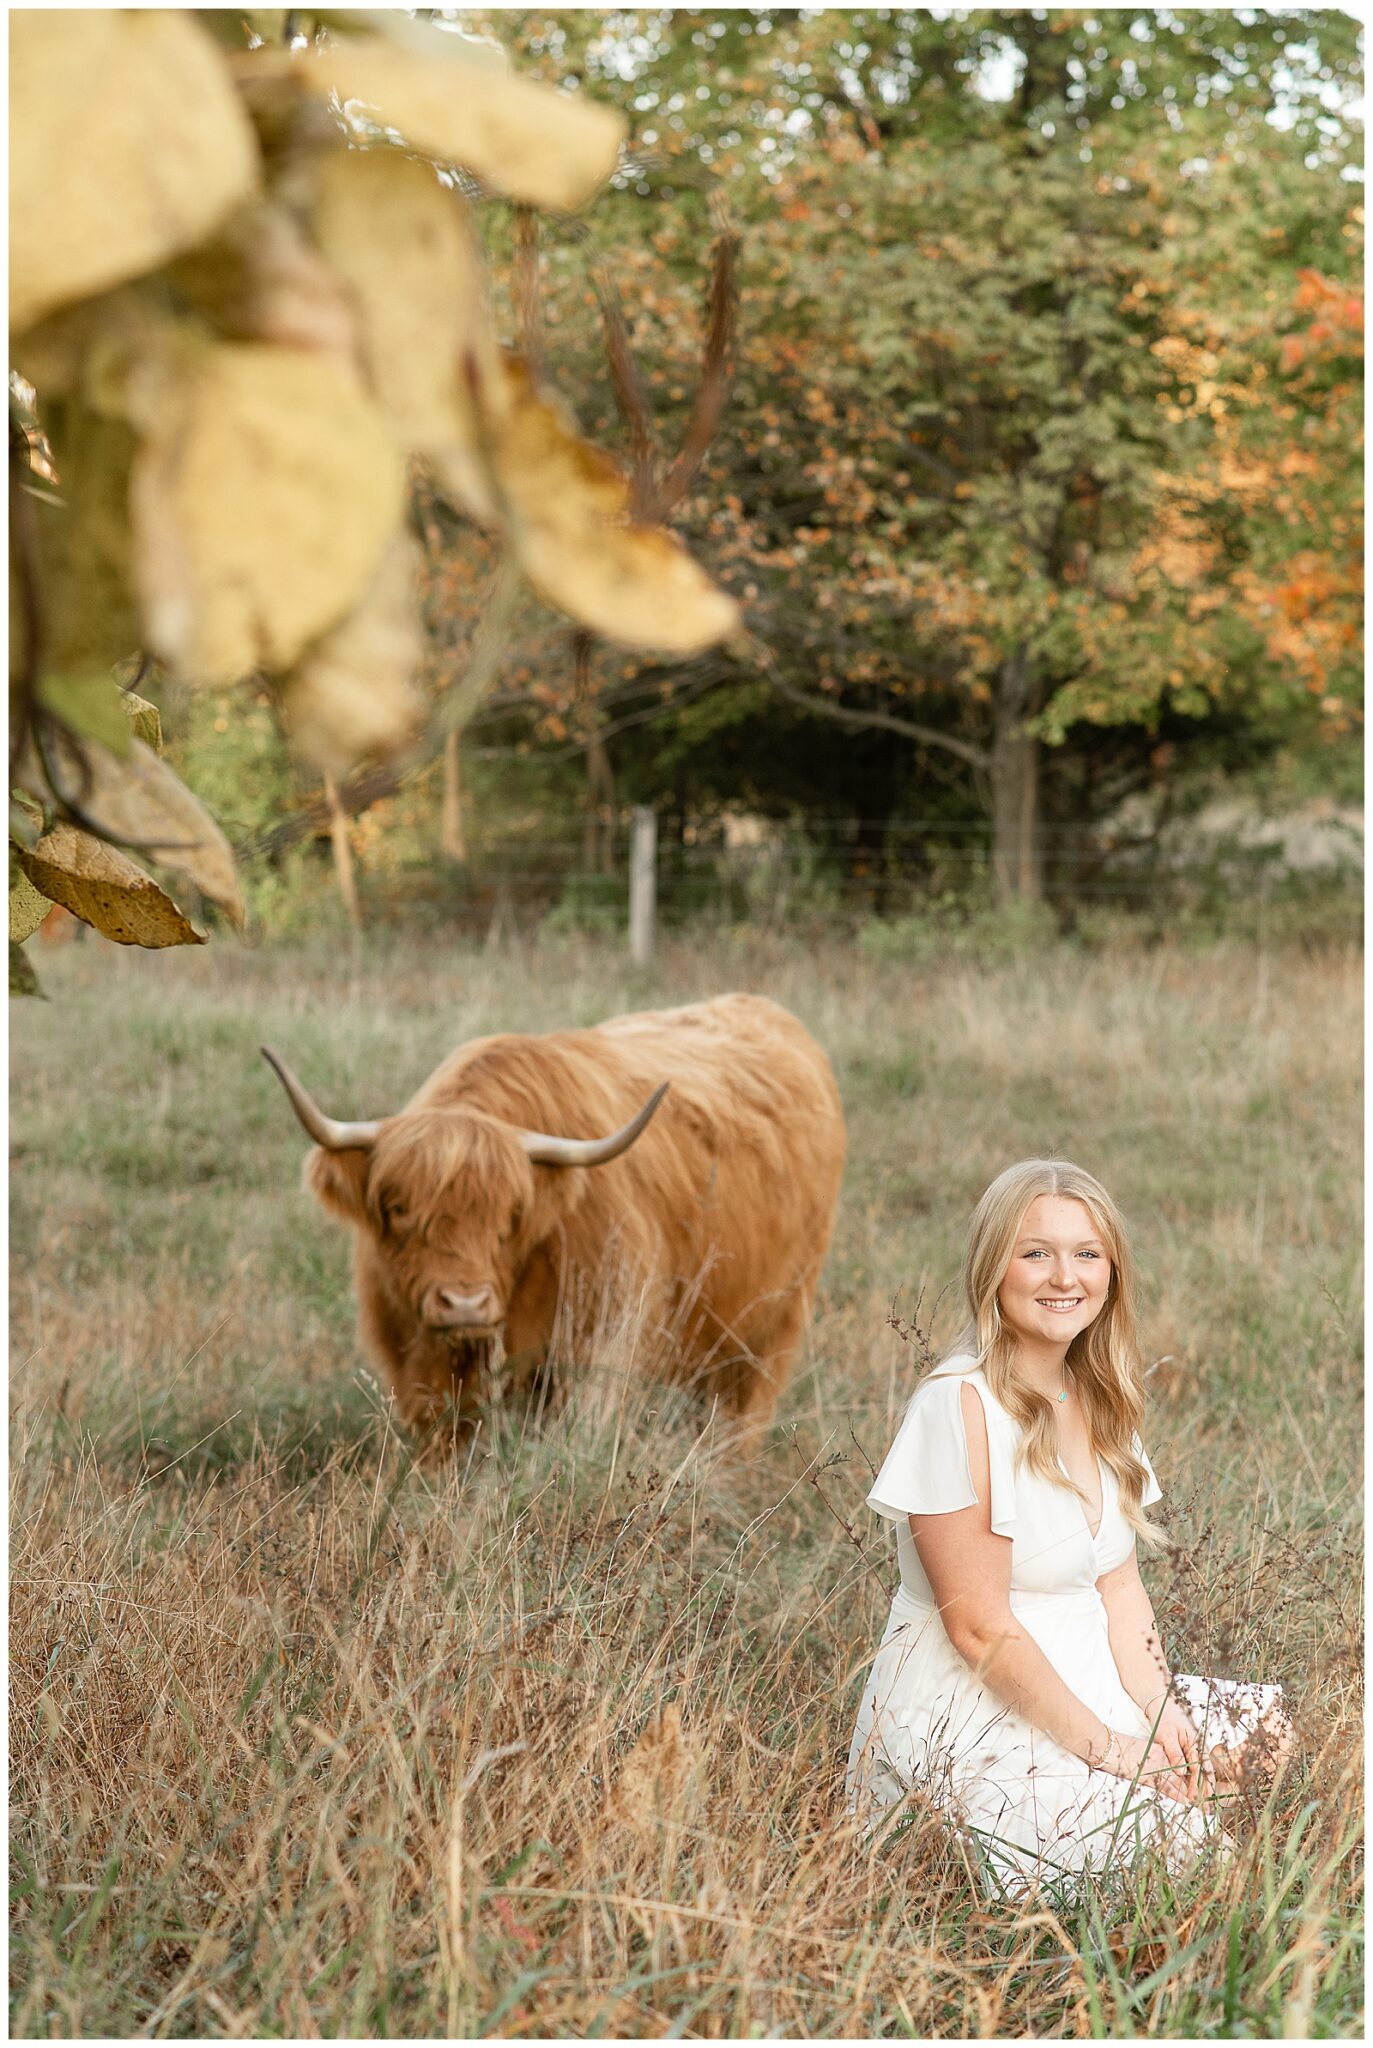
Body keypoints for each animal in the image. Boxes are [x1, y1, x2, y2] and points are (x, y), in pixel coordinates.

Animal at [263, 992, 845, 1445]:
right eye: (400, 1208)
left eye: (512, 1215)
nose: (465, 1304)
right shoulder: (418, 1368)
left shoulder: (599, 1351)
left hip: (773, 1322)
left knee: (740, 1415)